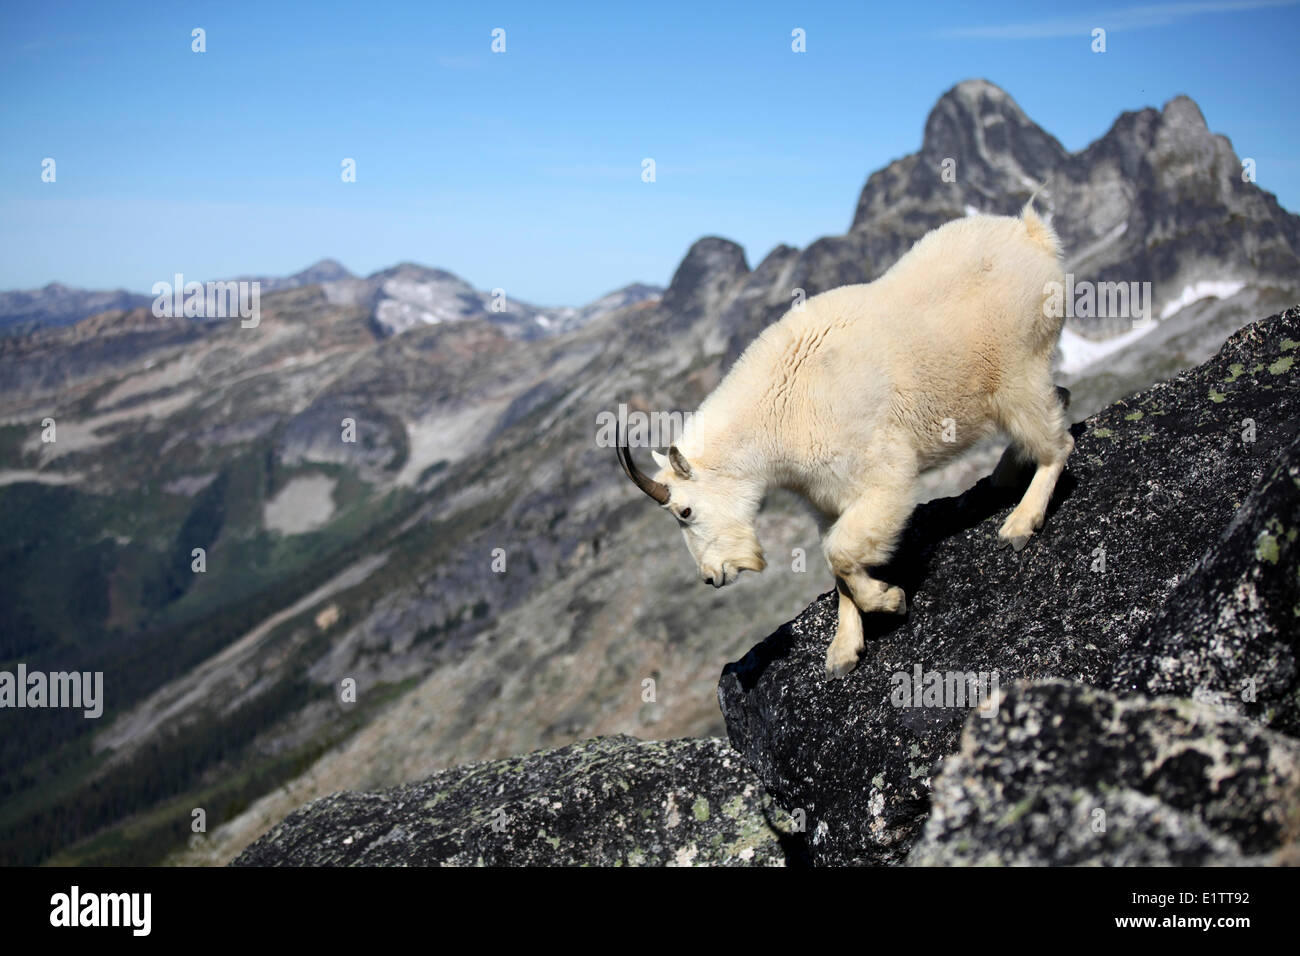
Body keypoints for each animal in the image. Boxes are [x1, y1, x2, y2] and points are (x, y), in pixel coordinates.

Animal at [617, 201, 1073, 676]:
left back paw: (1020, 522)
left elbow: (842, 551)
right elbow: (836, 566)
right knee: (1059, 398)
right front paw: (843, 650)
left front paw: (890, 600)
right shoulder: (823, 498)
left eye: (684, 511)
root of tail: (1033, 234)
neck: (778, 414)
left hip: (1017, 366)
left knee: (1056, 440)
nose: (712, 576)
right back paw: (1004, 479)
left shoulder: (879, 472)